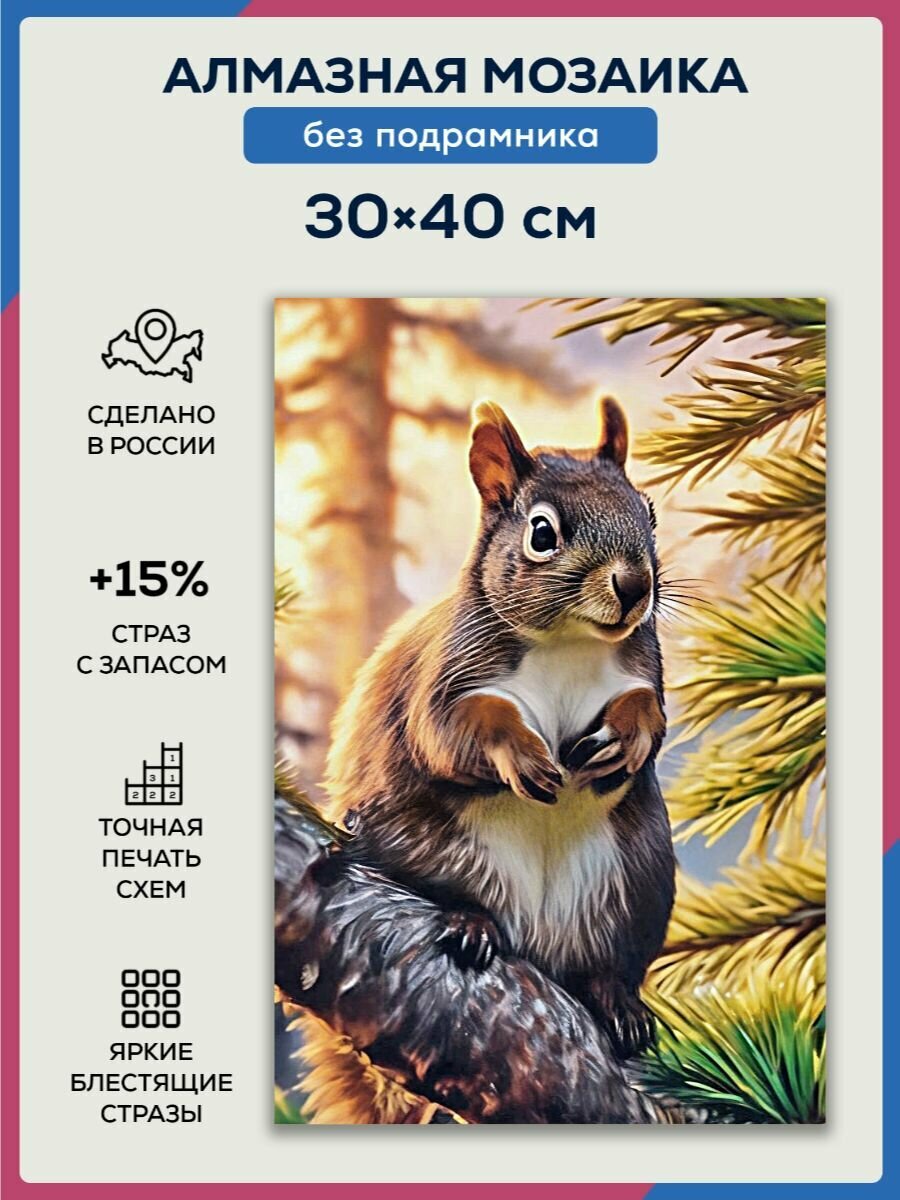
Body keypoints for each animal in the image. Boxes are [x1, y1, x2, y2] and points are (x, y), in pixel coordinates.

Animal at [323, 397, 675, 1060]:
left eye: (649, 514)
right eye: (542, 534)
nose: (635, 586)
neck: (568, 643)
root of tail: (537, 941)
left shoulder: (643, 672)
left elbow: (648, 713)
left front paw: (623, 740)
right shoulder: (446, 676)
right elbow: (454, 730)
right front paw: (525, 755)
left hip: (637, 886)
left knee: (604, 966)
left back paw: (616, 999)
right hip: (419, 846)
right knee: (448, 893)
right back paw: (470, 924)